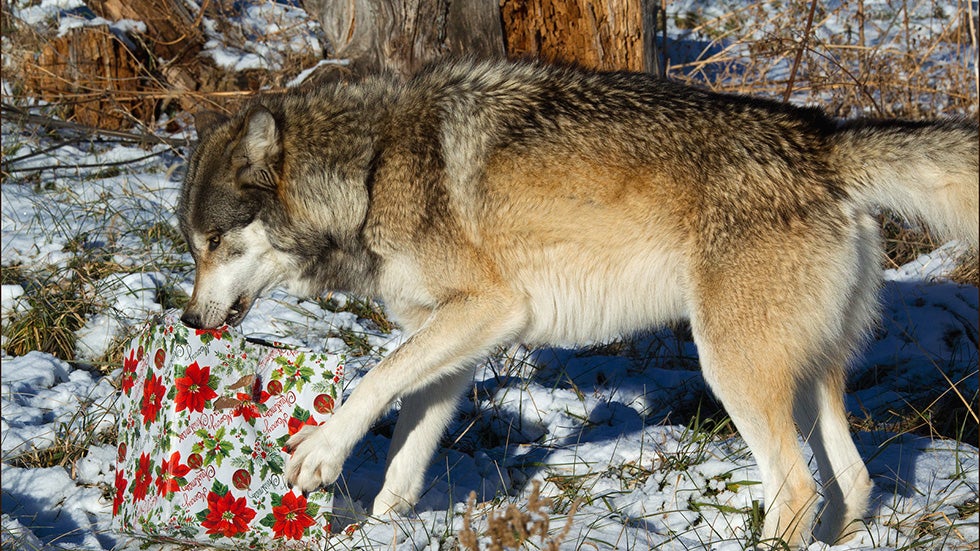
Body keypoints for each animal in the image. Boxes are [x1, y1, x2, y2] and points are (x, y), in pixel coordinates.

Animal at [177, 58, 978, 547]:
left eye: (215, 241)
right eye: (191, 245)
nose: (186, 318)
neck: (369, 171)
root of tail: (826, 141)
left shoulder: (490, 310)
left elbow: (373, 381)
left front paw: (319, 452)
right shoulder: (452, 341)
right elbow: (408, 448)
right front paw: (384, 525)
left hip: (734, 372)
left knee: (798, 490)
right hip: (807, 379)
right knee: (854, 480)